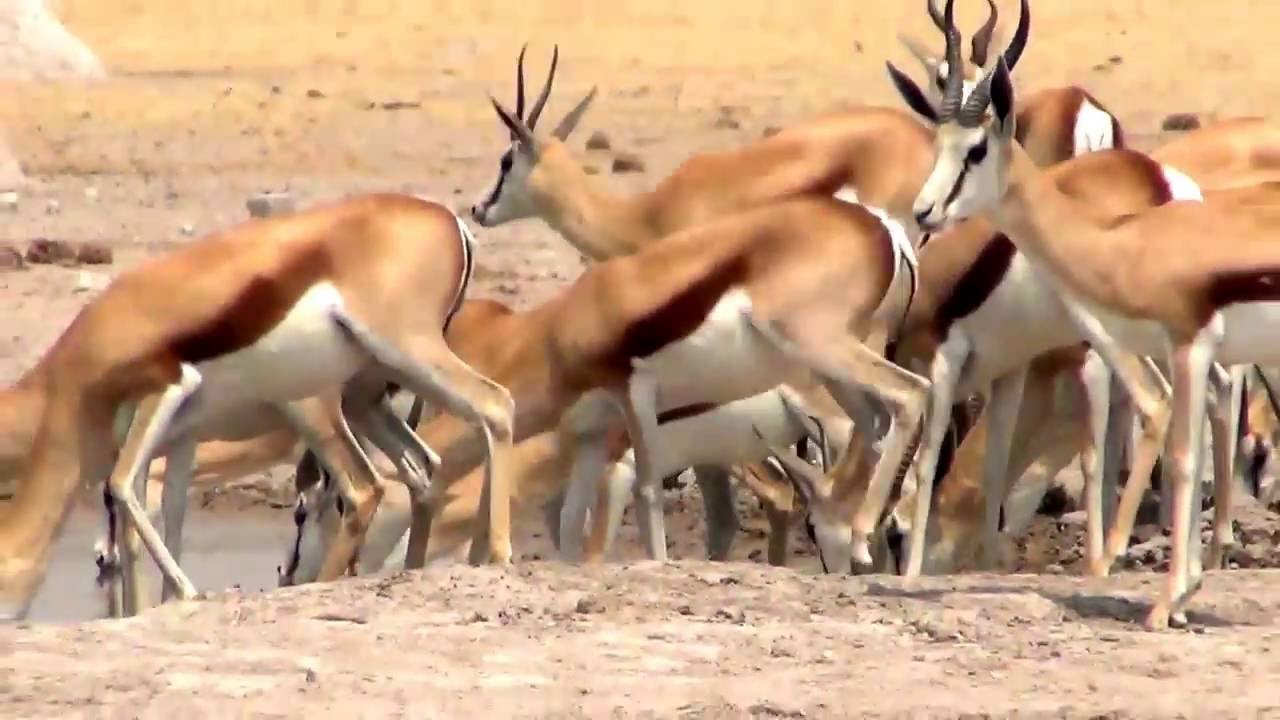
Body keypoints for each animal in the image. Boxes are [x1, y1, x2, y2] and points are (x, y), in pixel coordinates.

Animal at [0, 194, 514, 622]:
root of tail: (450, 221)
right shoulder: (178, 433)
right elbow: (163, 514)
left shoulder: (161, 392)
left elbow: (122, 488)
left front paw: (187, 593)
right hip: (369, 392)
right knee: (423, 467)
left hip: (381, 369)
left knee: (482, 414)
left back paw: (497, 554)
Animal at [892, 0, 1280, 629]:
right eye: (939, 141)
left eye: (976, 149)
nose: (924, 211)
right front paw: (1181, 596)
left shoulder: (1185, 344)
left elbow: (1179, 455)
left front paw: (1164, 604)